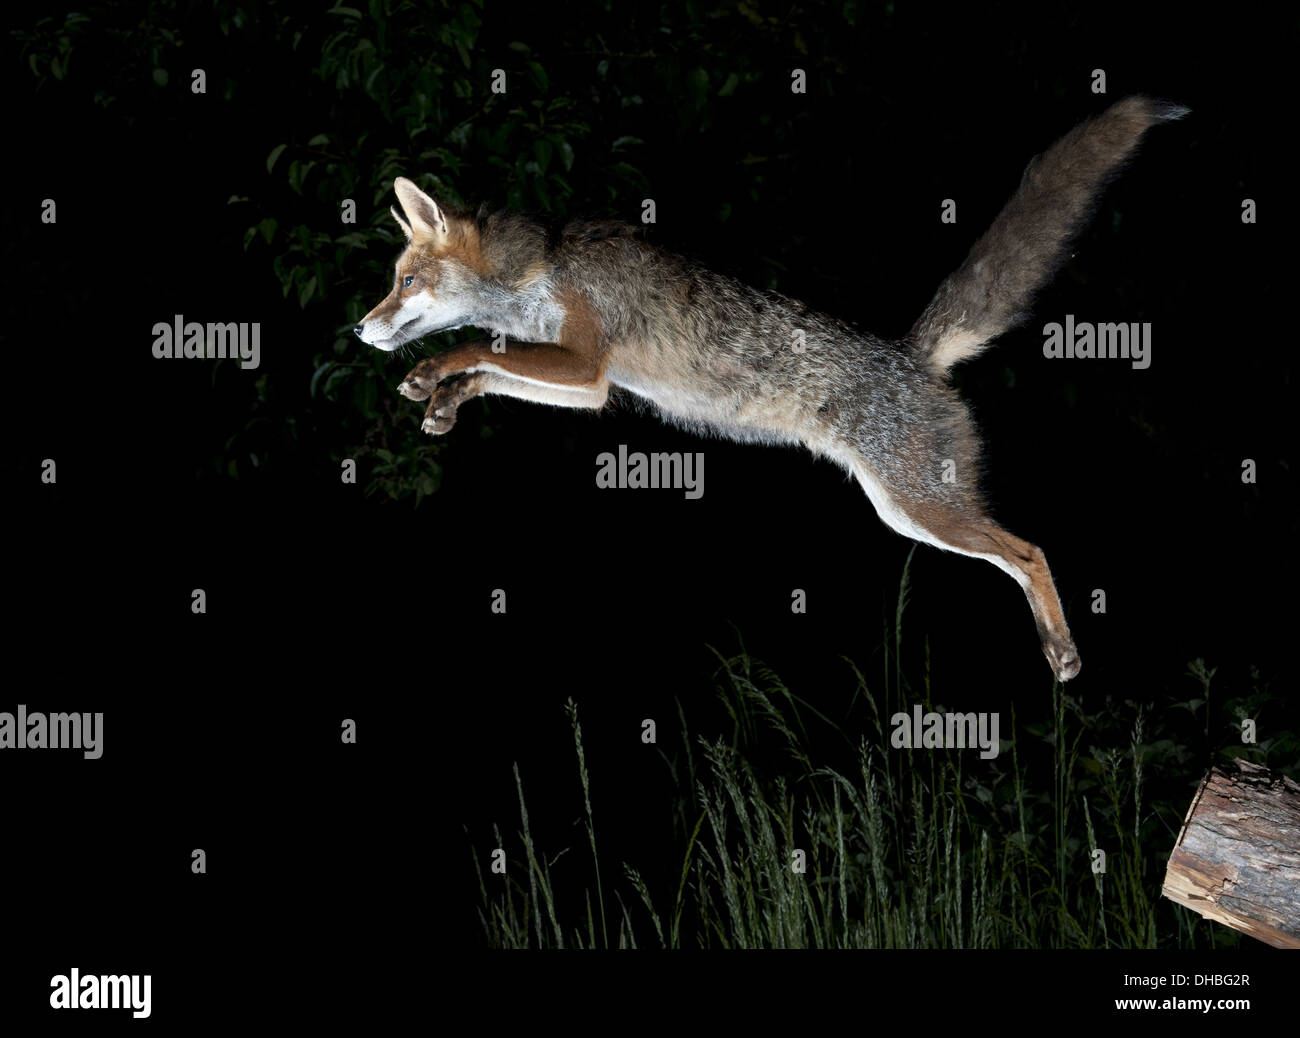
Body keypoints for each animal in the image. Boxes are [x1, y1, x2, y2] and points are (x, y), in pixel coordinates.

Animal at [355, 95, 1188, 682]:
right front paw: (443, 400)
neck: (535, 277)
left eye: (404, 283)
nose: (362, 329)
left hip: (923, 506)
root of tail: (912, 353)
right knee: (1016, 554)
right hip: (908, 516)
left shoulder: (585, 358)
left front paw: (429, 373)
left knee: (1033, 549)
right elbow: (489, 368)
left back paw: (1063, 650)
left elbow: (471, 345)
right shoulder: (592, 384)